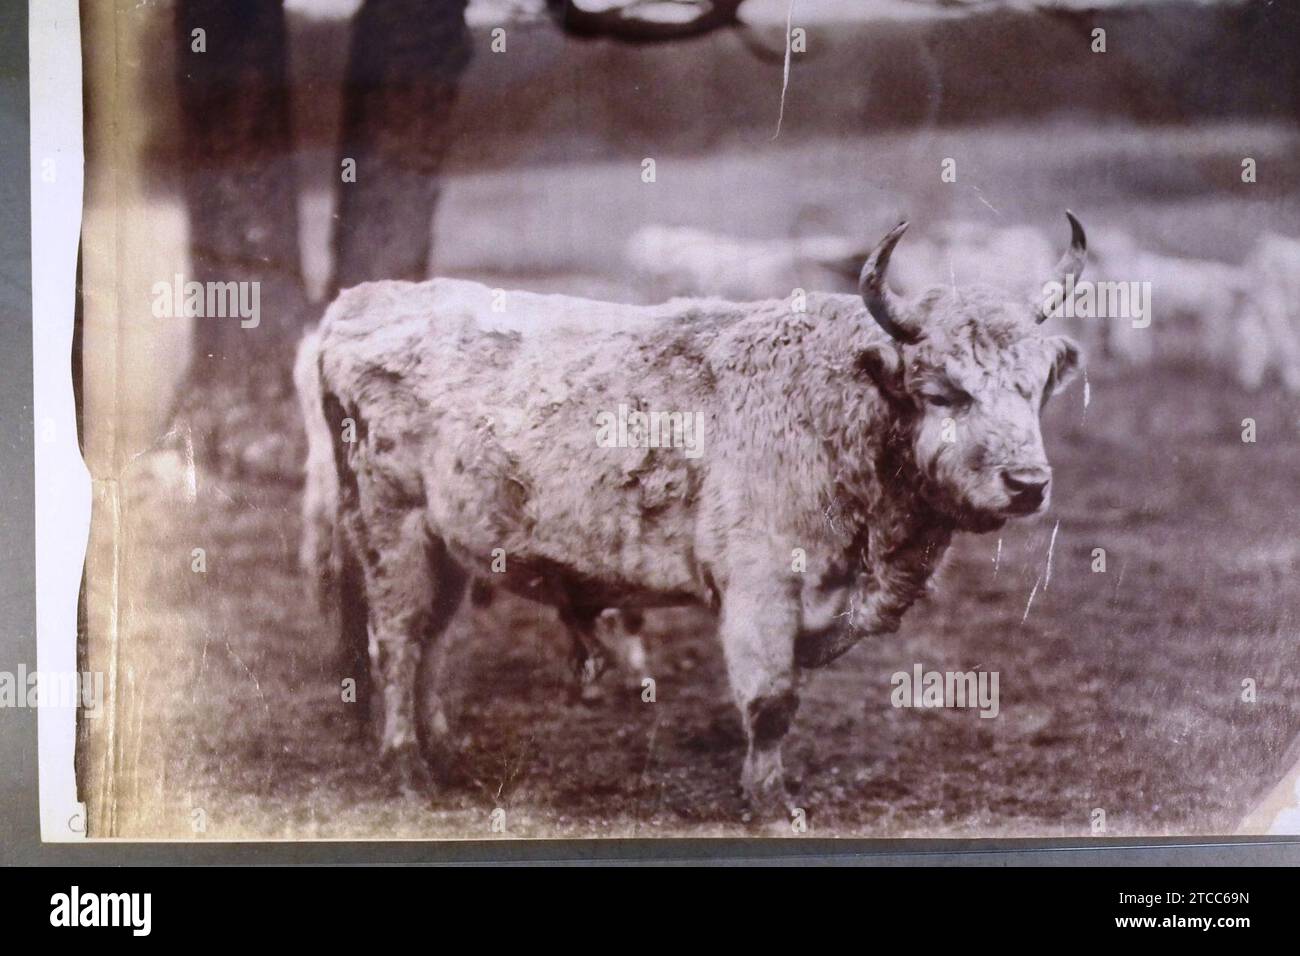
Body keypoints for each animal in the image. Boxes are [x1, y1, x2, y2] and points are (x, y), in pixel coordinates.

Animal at [309, 213, 1086, 811]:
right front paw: (769, 802)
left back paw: (445, 748)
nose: (1027, 483)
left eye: (1035, 387)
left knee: (434, 639)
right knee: (397, 640)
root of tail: (360, 304)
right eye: (944, 391)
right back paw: (406, 767)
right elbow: (770, 700)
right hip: (392, 527)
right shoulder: (762, 586)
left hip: (447, 545)